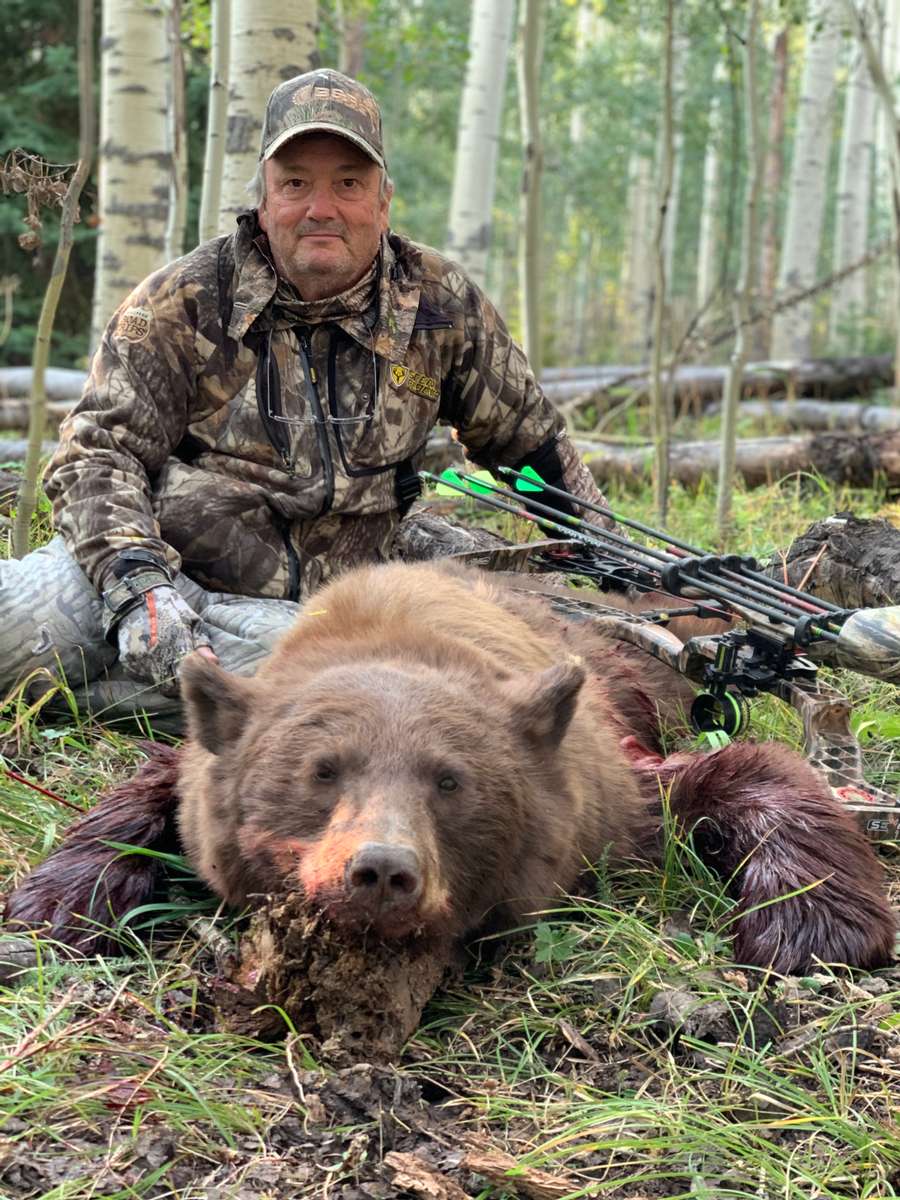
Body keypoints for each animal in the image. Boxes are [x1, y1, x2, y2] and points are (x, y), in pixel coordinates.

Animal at [4, 561, 896, 975]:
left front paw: (811, 928)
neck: (397, 632)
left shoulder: (610, 776)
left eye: (449, 782)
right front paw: (53, 904)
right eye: (321, 773)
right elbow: (143, 789)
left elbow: (748, 768)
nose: (380, 871)